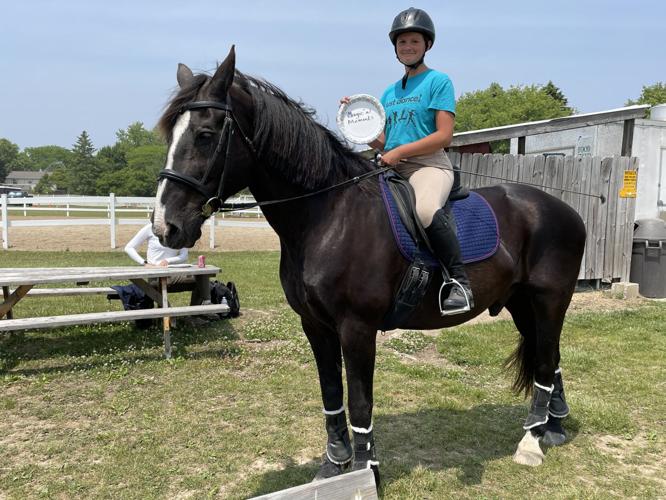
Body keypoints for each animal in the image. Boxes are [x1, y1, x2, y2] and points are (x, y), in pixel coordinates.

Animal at [151, 47, 586, 483]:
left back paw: (531, 441)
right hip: (522, 304)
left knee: (545, 361)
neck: (329, 214)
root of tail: (563, 208)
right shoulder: (315, 326)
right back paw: (553, 428)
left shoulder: (356, 327)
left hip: (550, 301)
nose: (165, 226)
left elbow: (361, 401)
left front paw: (364, 472)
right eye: (170, 136)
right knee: (550, 359)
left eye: (205, 135)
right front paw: (333, 465)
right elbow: (332, 394)